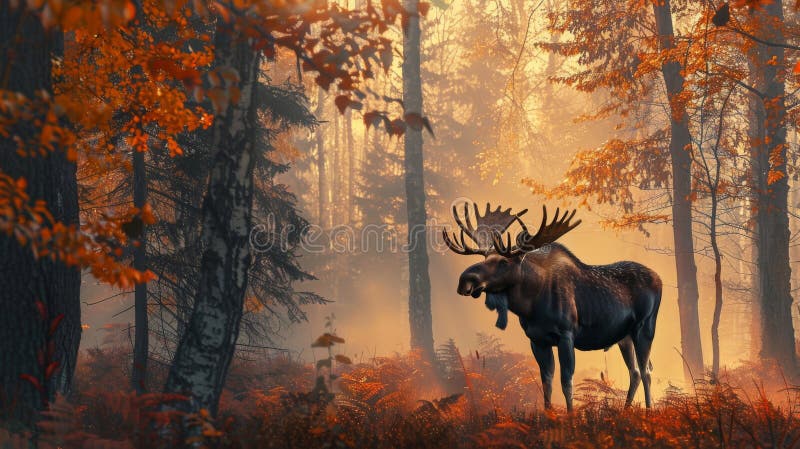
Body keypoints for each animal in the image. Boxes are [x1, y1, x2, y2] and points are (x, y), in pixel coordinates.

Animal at [442, 202, 662, 410]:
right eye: (485, 258)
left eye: (504, 262)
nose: (465, 280)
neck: (530, 306)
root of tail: (658, 278)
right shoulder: (537, 340)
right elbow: (547, 383)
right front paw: (549, 415)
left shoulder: (566, 334)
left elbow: (566, 381)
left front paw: (571, 415)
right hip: (624, 336)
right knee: (635, 372)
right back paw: (626, 409)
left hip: (644, 327)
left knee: (646, 370)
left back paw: (649, 409)